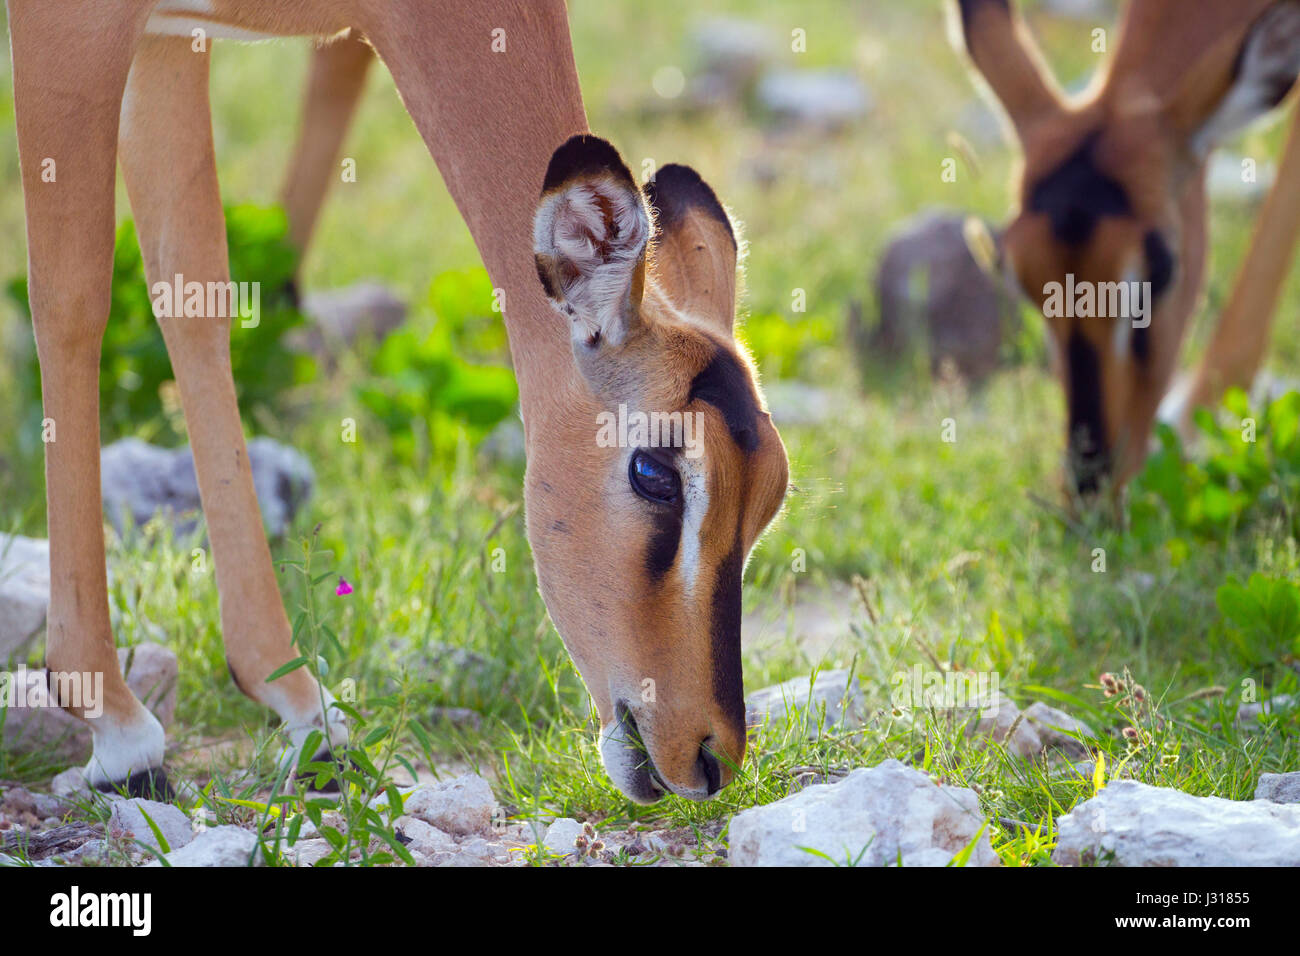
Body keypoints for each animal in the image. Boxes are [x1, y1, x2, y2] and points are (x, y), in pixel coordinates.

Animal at [9, 0, 788, 804]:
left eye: (772, 496)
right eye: (655, 473)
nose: (710, 756)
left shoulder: (171, 40)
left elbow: (195, 298)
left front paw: (309, 715)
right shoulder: (76, 29)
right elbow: (73, 301)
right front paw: (121, 734)